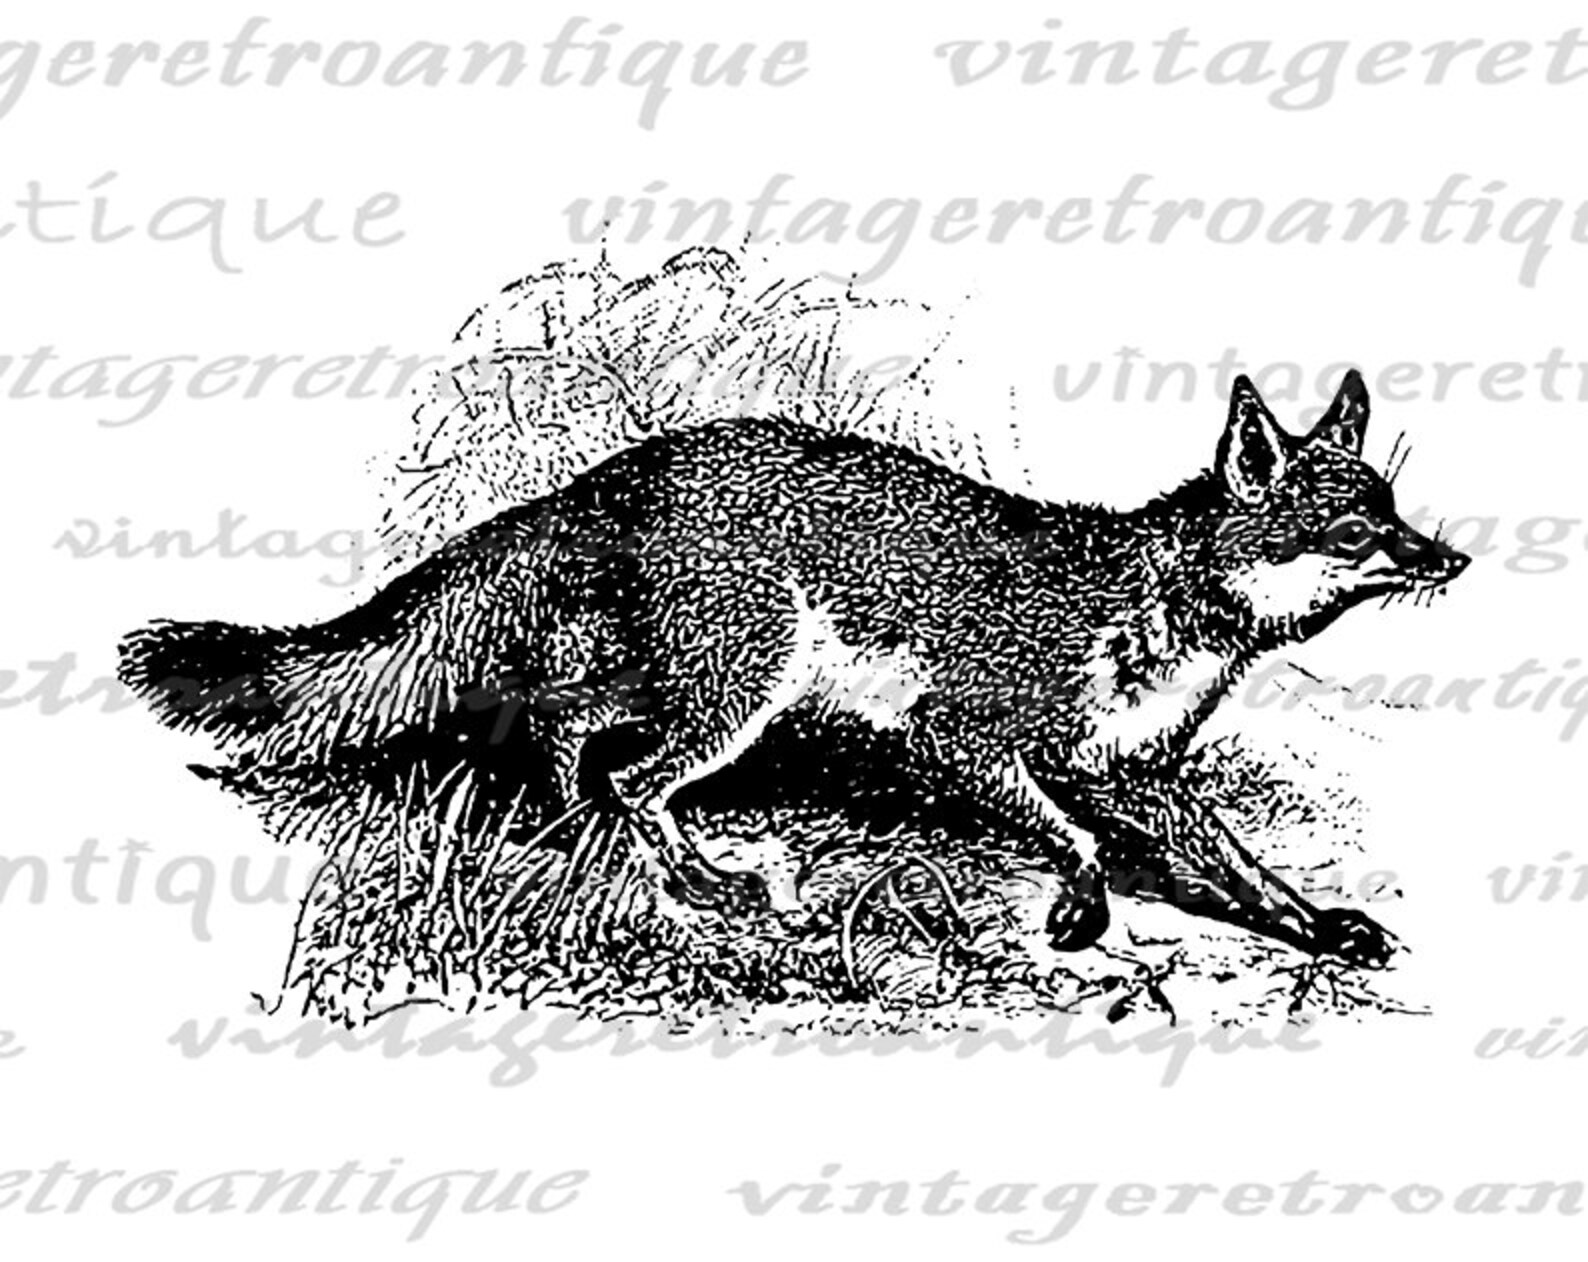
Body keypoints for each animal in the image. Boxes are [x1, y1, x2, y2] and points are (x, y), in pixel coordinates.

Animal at [119, 369, 1468, 968]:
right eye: (1359, 533)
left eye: (1394, 512)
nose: (1451, 557)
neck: (1160, 620)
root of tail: (625, 464)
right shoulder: (965, 737)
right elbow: (1074, 836)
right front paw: (1080, 906)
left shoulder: (1144, 772)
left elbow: (1247, 867)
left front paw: (1321, 925)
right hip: (737, 697)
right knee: (627, 771)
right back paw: (696, 874)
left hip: (680, 682)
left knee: (568, 732)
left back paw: (601, 837)